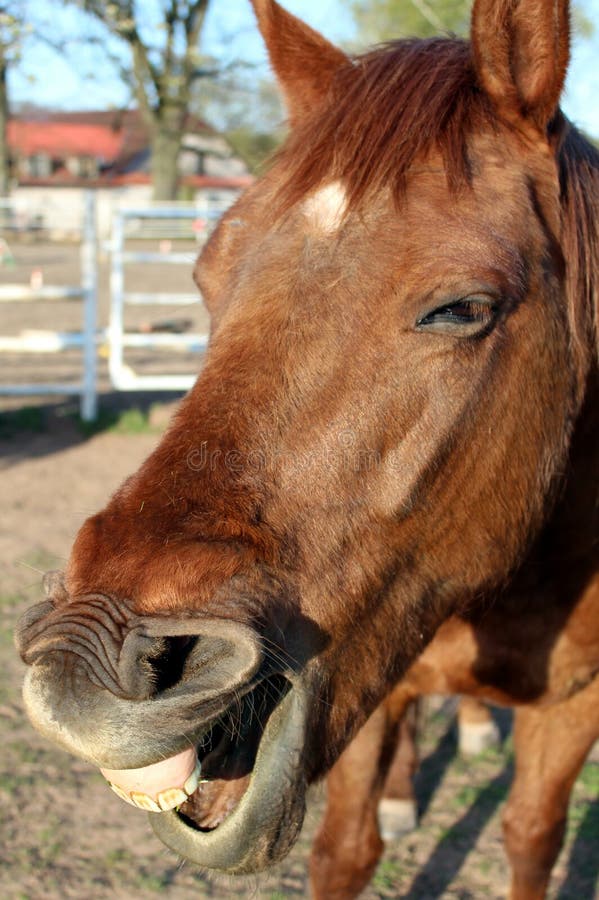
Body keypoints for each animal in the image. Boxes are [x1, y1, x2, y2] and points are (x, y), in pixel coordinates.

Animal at [16, 0, 598, 897]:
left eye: (463, 308)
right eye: (206, 275)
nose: (88, 654)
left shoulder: (574, 707)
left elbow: (533, 836)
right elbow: (347, 850)